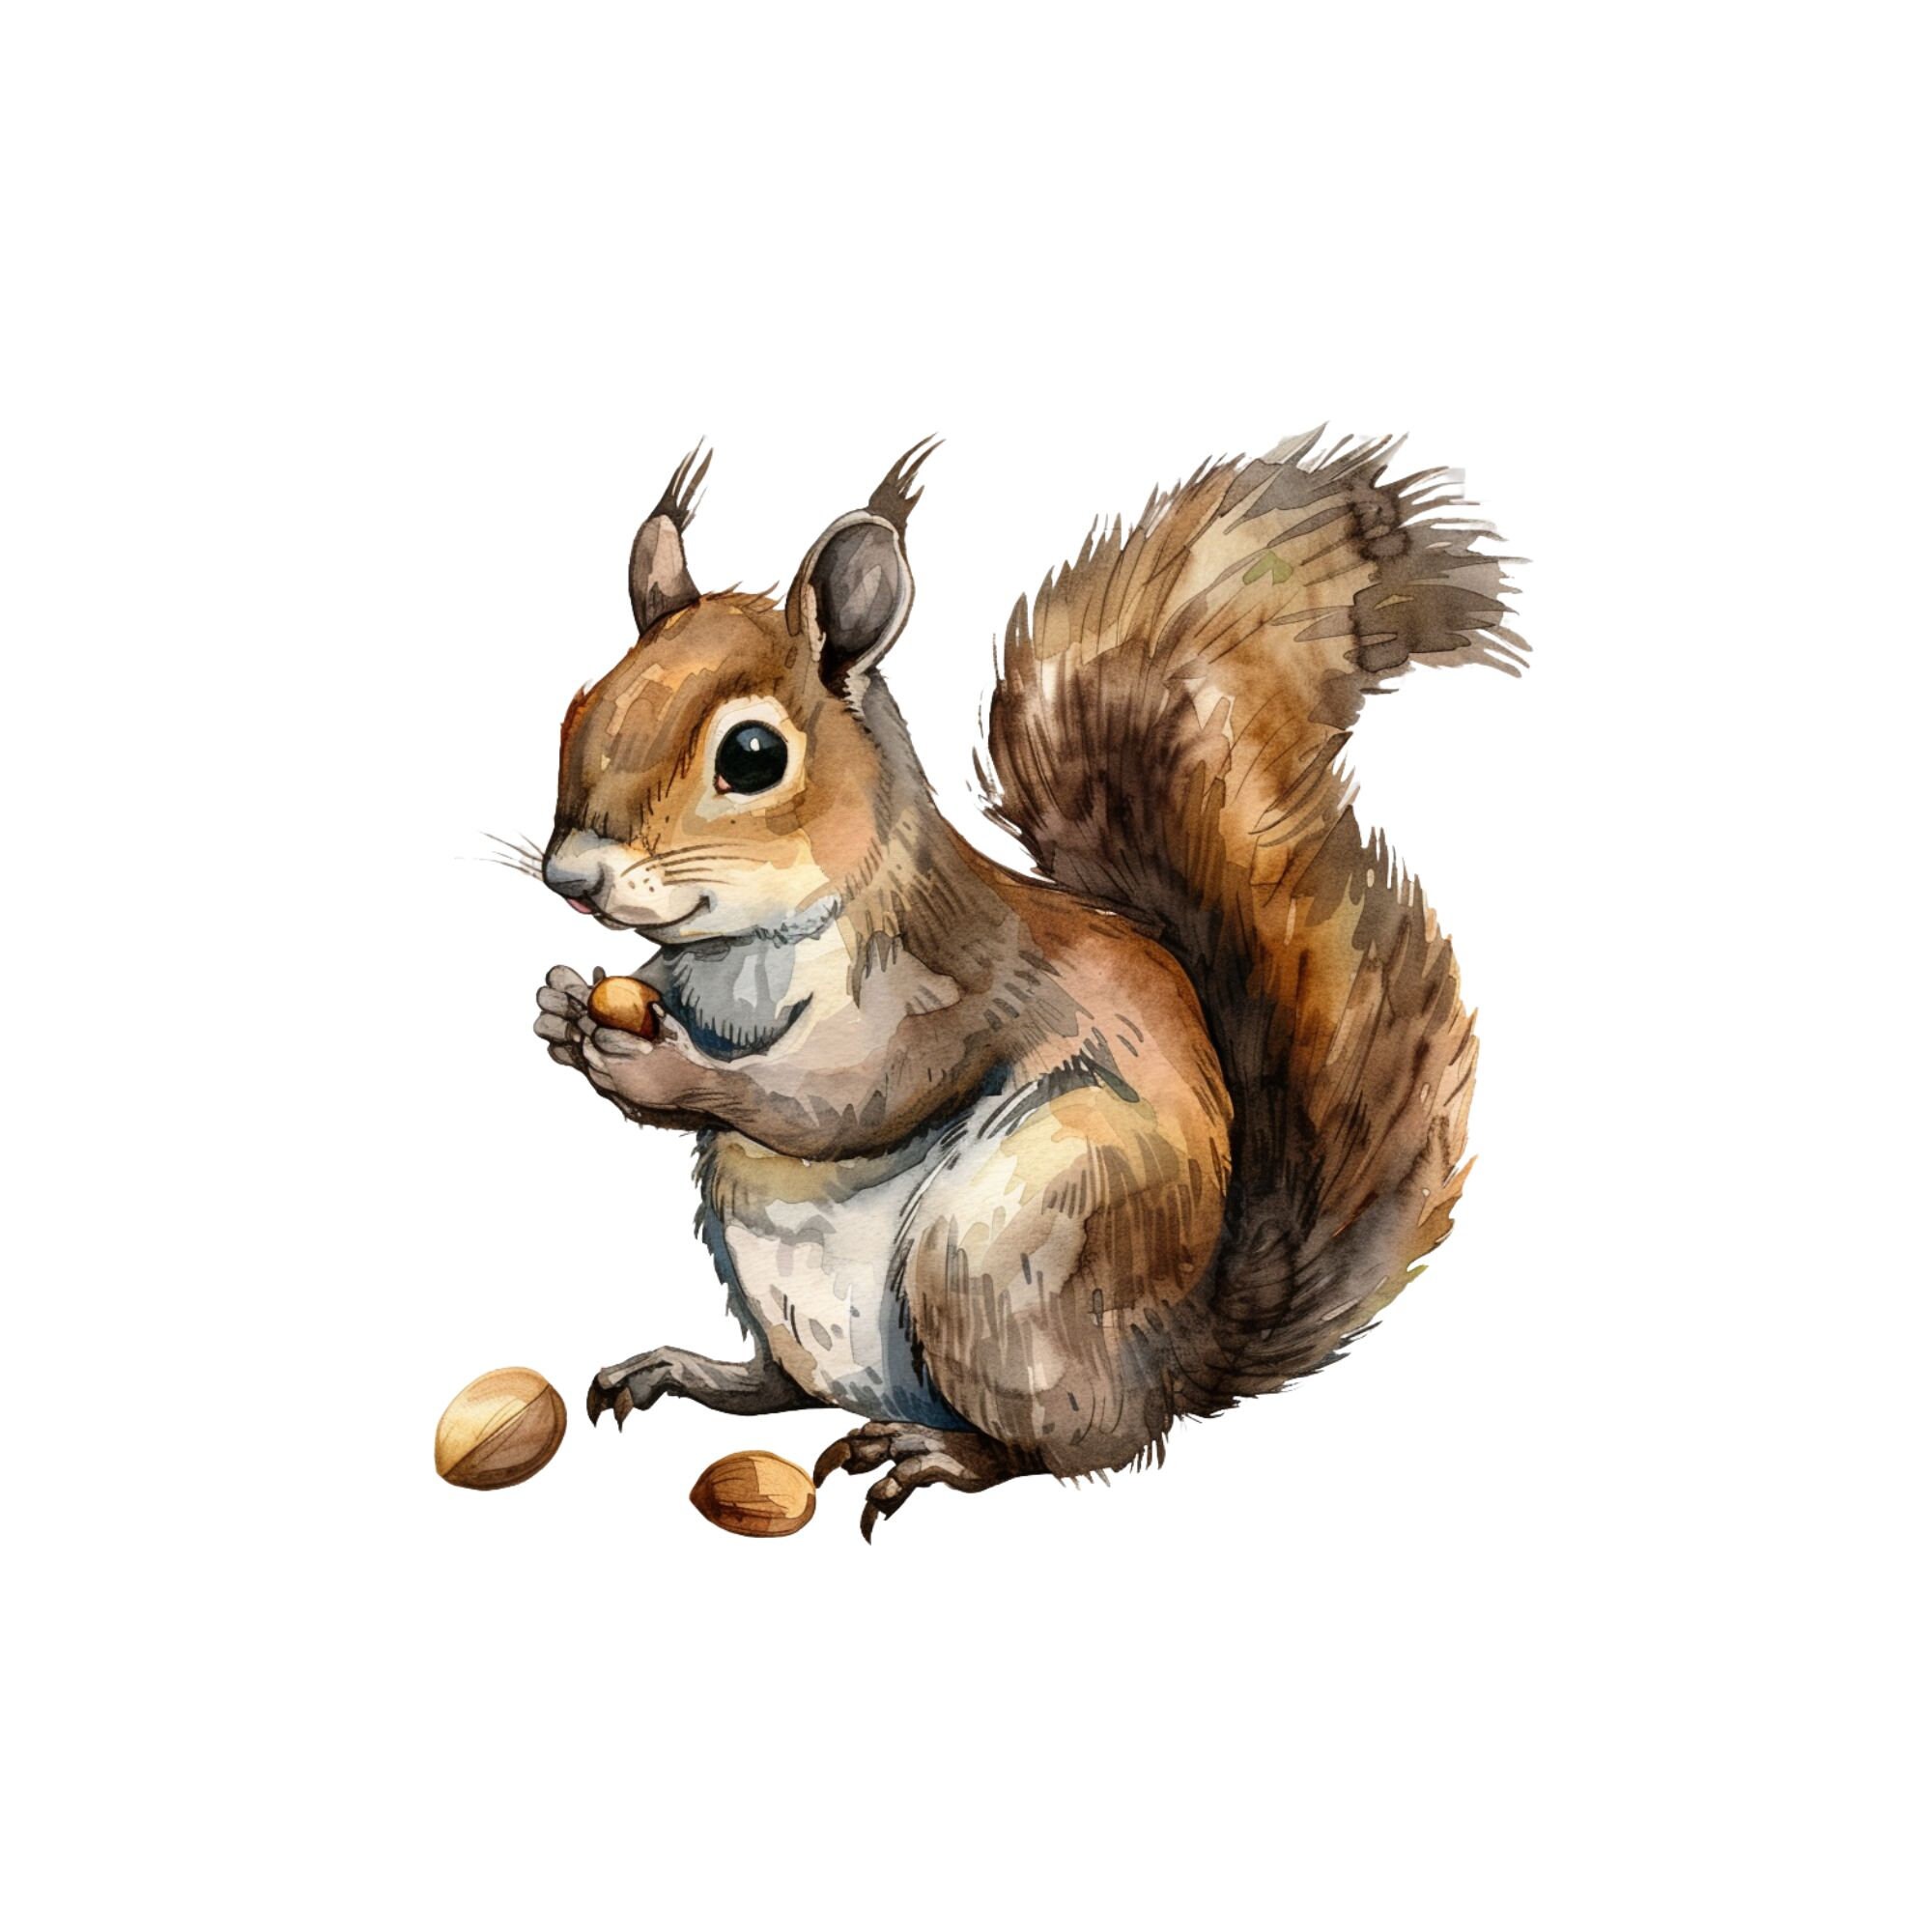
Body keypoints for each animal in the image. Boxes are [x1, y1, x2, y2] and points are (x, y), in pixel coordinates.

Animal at [529, 433, 1522, 1538]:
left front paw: (656, 1068)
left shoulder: (945, 986)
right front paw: (566, 1011)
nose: (571, 877)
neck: (742, 949)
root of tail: (1178, 1361)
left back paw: (934, 1452)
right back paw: (692, 1371)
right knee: (787, 1388)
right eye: (581, 706)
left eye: (751, 754)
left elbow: (841, 1099)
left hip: (1004, 1259)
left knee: (1075, 1447)